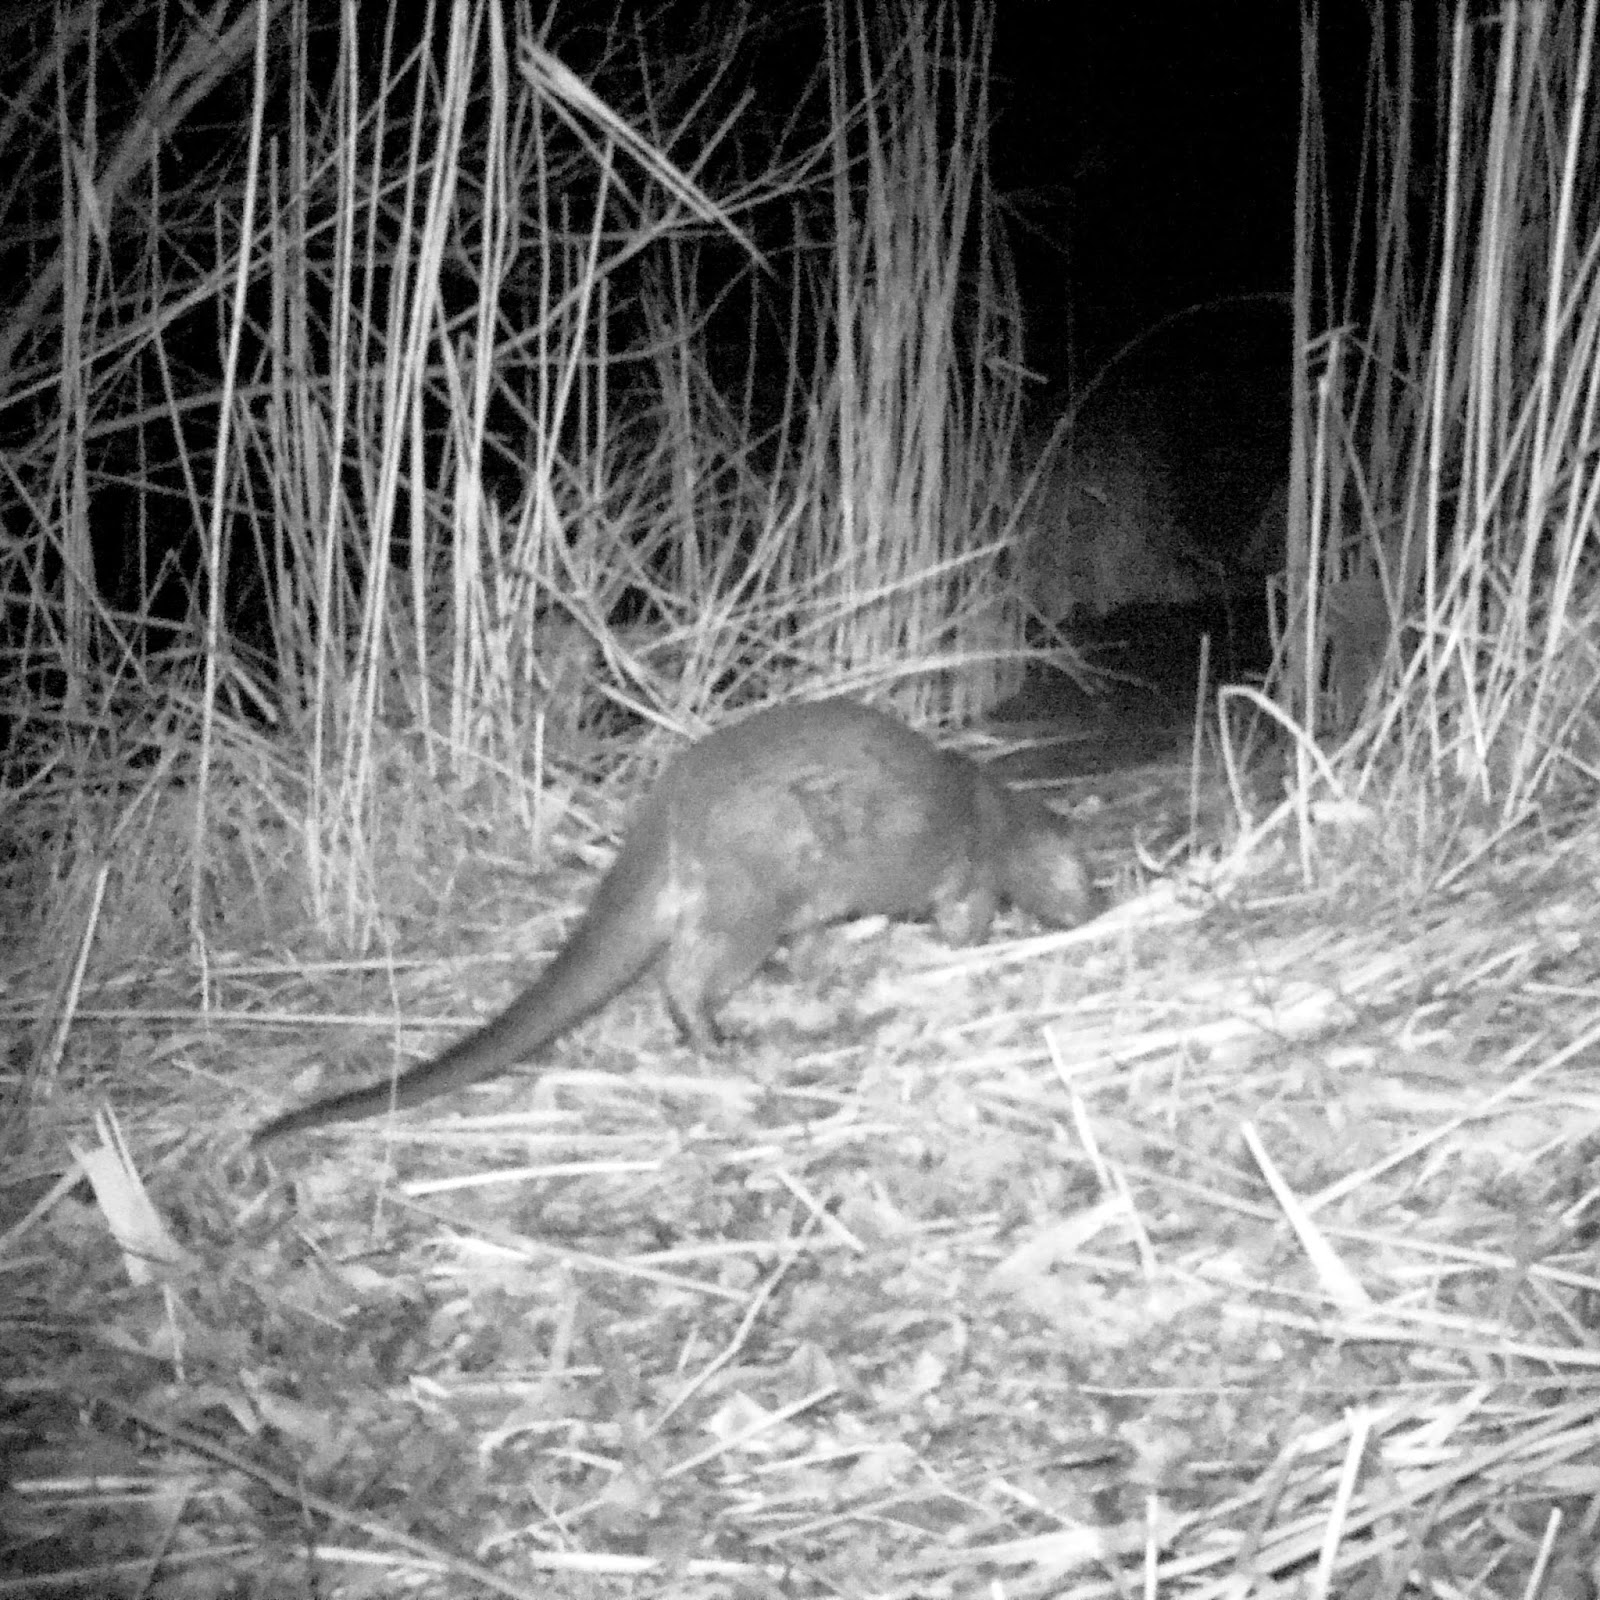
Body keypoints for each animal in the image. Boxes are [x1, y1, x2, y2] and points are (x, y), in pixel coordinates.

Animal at [252, 698, 1100, 1145]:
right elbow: (965, 919)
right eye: (1087, 879)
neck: (995, 816)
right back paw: (720, 1043)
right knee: (687, 976)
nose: (1096, 908)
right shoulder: (969, 873)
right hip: (750, 893)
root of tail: (667, 813)